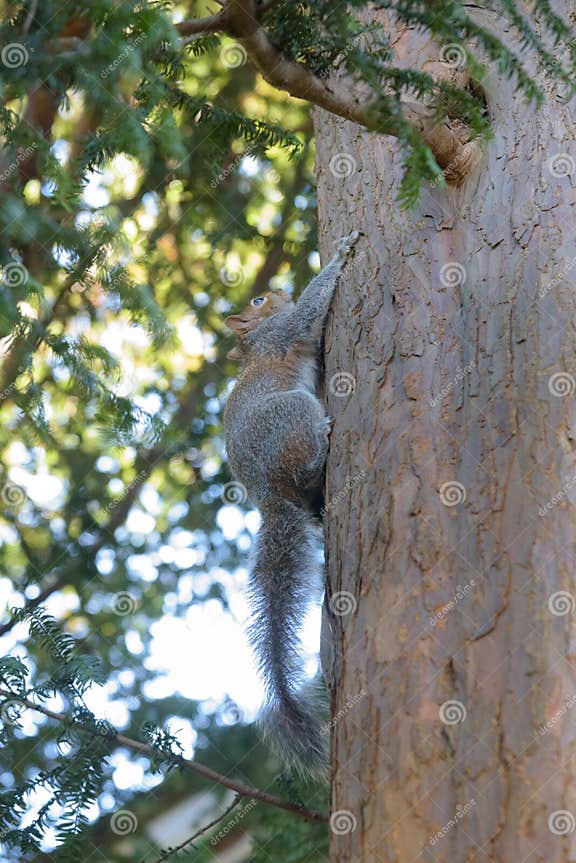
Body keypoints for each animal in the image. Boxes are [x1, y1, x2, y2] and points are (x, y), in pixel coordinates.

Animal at [222, 231, 359, 777]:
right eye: (258, 300)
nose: (275, 288)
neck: (256, 338)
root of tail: (267, 495)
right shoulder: (285, 331)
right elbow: (306, 313)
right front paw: (340, 255)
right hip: (292, 414)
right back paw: (324, 437)